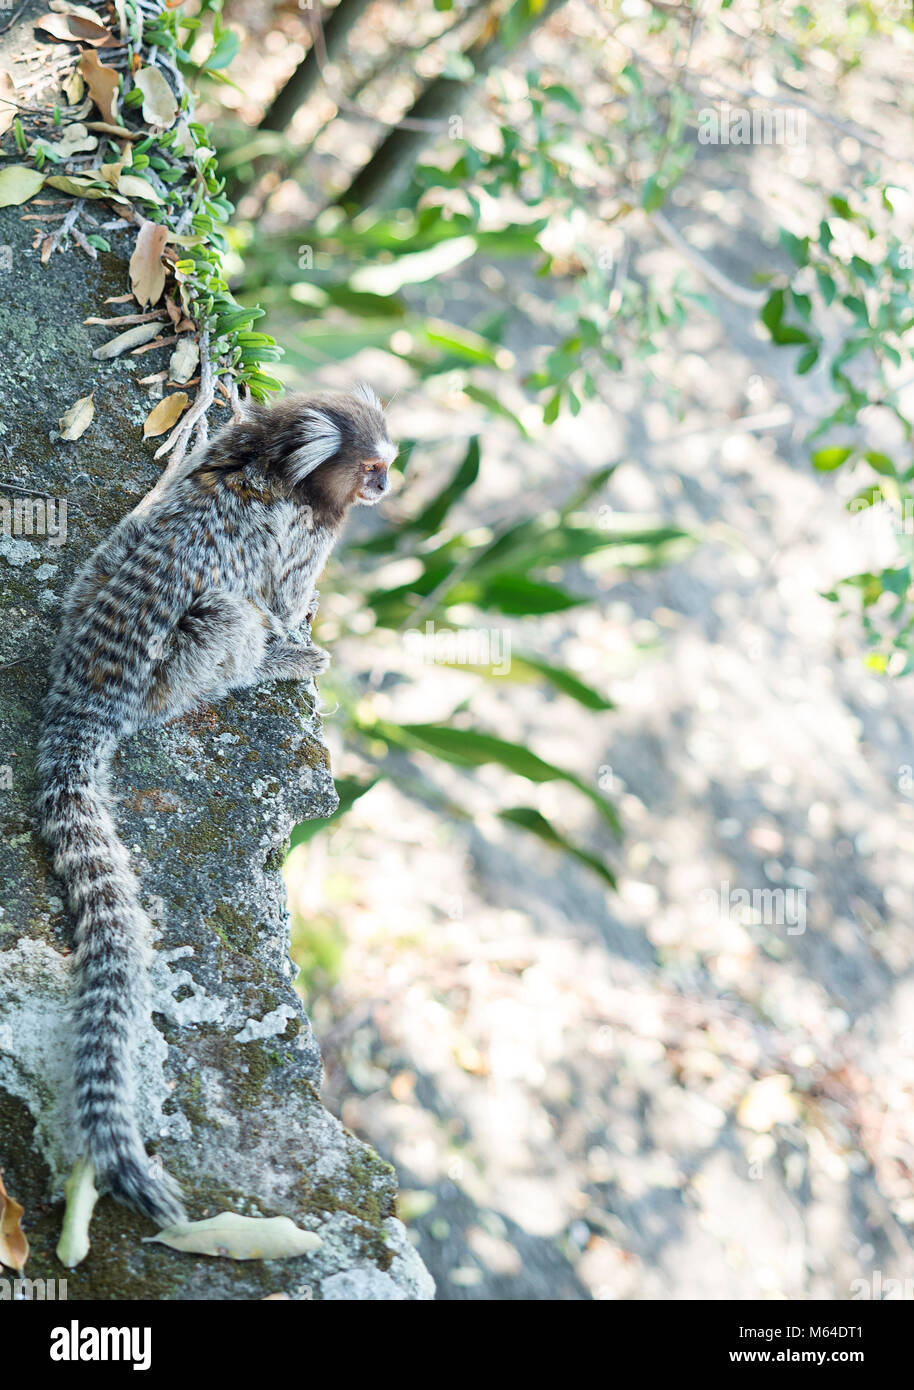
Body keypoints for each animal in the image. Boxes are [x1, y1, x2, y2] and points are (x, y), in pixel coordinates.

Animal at [36, 383, 396, 1227]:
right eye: (371, 468)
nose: (386, 486)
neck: (269, 461)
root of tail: (85, 698)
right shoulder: (300, 543)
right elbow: (285, 598)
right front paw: (297, 639)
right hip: (179, 672)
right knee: (230, 618)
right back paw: (267, 665)